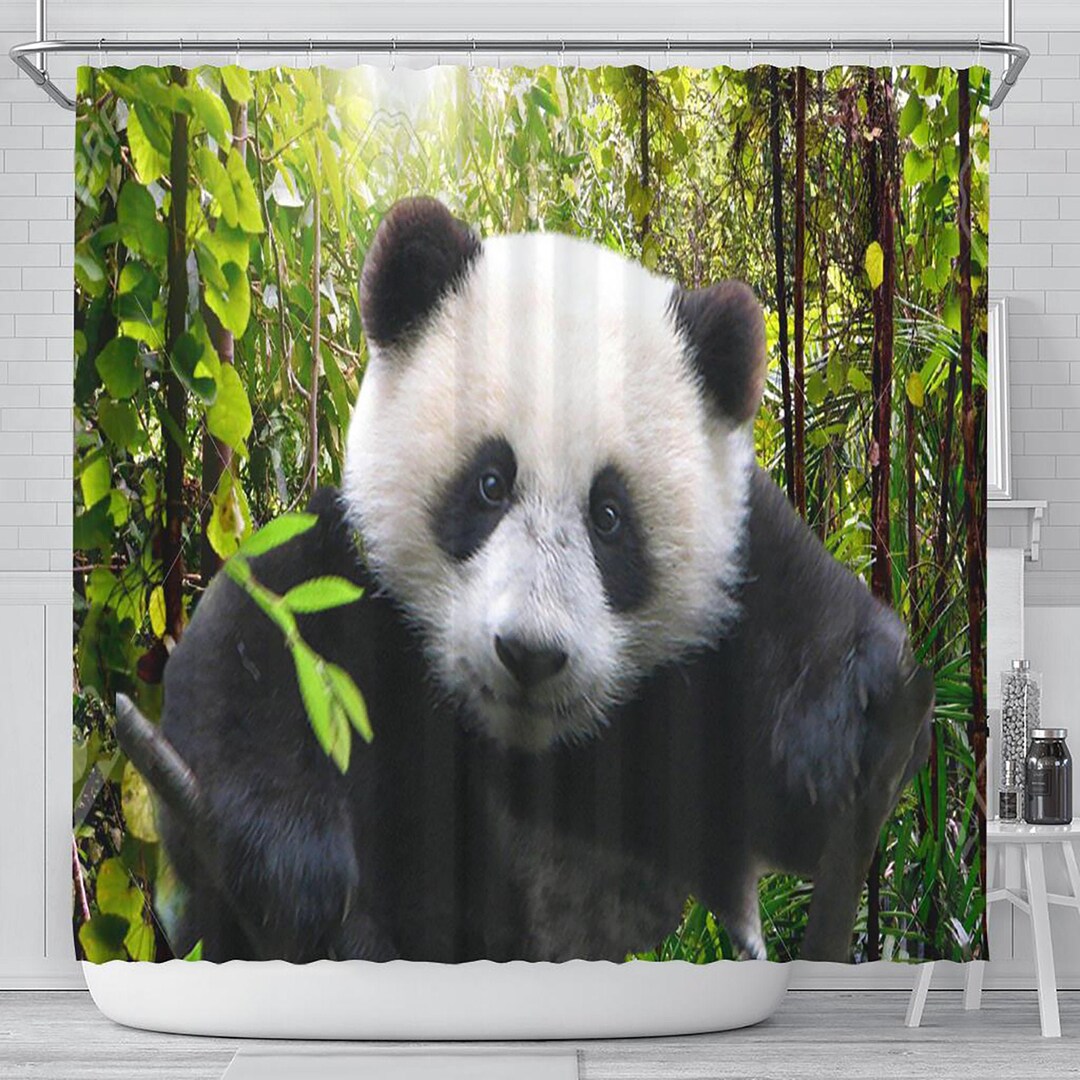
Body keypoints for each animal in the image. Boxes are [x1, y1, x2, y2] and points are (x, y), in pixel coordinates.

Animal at [152, 197, 934, 966]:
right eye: (490, 484)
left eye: (610, 517)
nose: (529, 654)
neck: (527, 751)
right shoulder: (358, 574)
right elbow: (251, 656)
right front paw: (294, 868)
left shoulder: (726, 603)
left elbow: (817, 678)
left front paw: (838, 729)